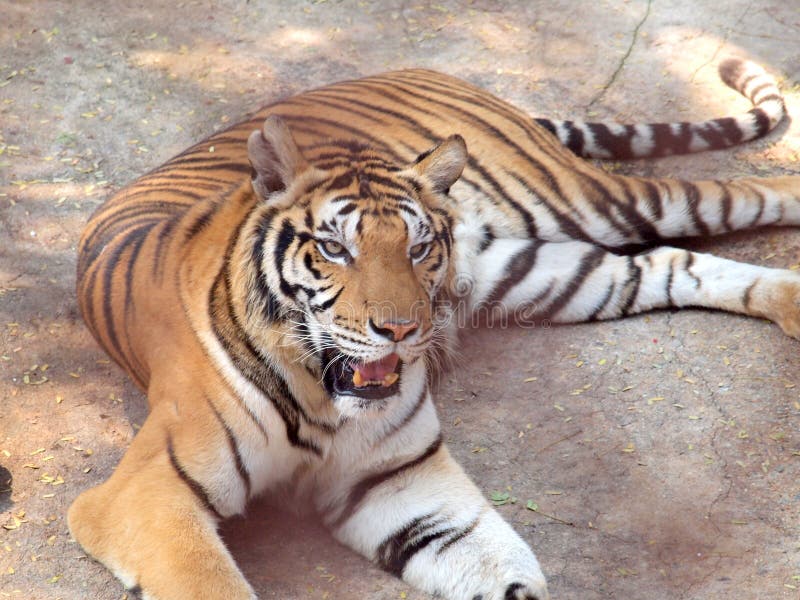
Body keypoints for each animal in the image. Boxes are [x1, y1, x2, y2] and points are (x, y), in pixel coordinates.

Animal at [67, 57, 800, 600]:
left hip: (603, 202)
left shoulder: (402, 478)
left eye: (419, 247)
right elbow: (212, 583)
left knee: (752, 192)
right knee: (672, 263)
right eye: (334, 248)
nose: (400, 329)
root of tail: (428, 71)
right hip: (546, 272)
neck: (321, 399)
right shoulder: (149, 496)